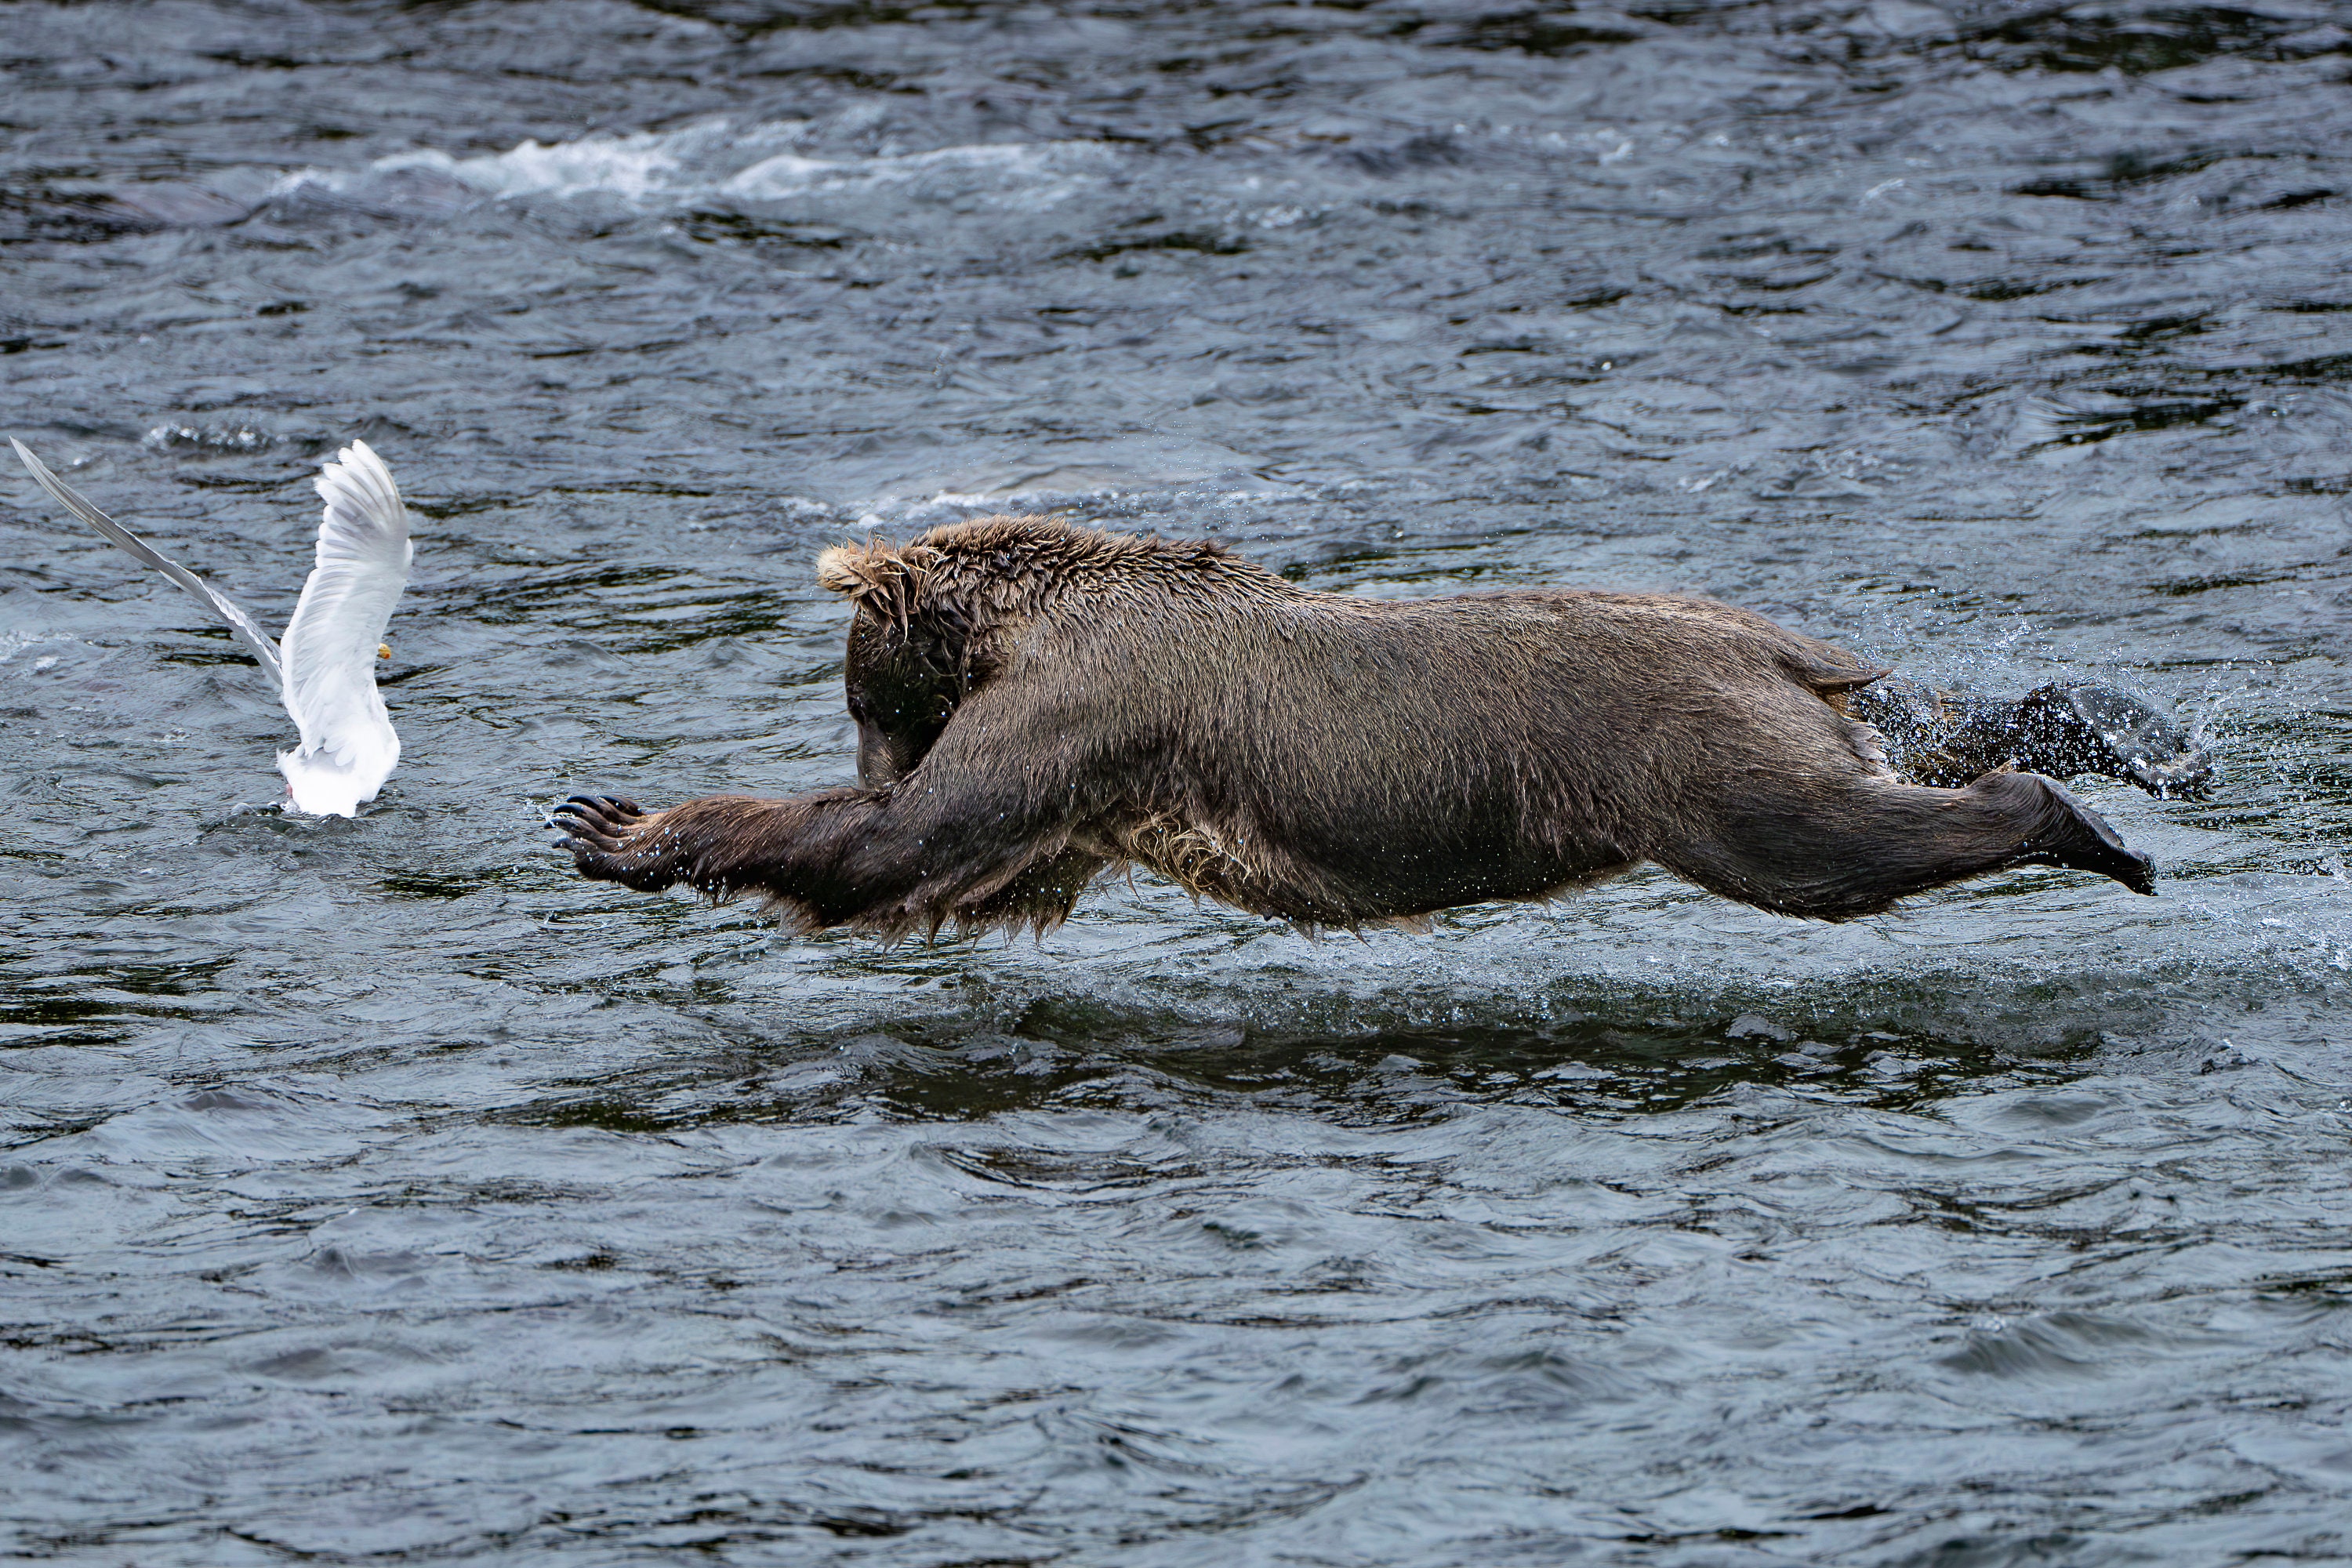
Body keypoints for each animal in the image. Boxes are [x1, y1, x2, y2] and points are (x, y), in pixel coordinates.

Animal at [553, 514, 2169, 939]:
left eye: (860, 703)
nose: (871, 750)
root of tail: (1786, 644)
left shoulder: (1080, 714)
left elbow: (914, 846)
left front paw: (619, 827)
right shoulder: (1082, 792)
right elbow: (976, 871)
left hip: (1692, 753)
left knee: (1826, 847)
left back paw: (2091, 828)